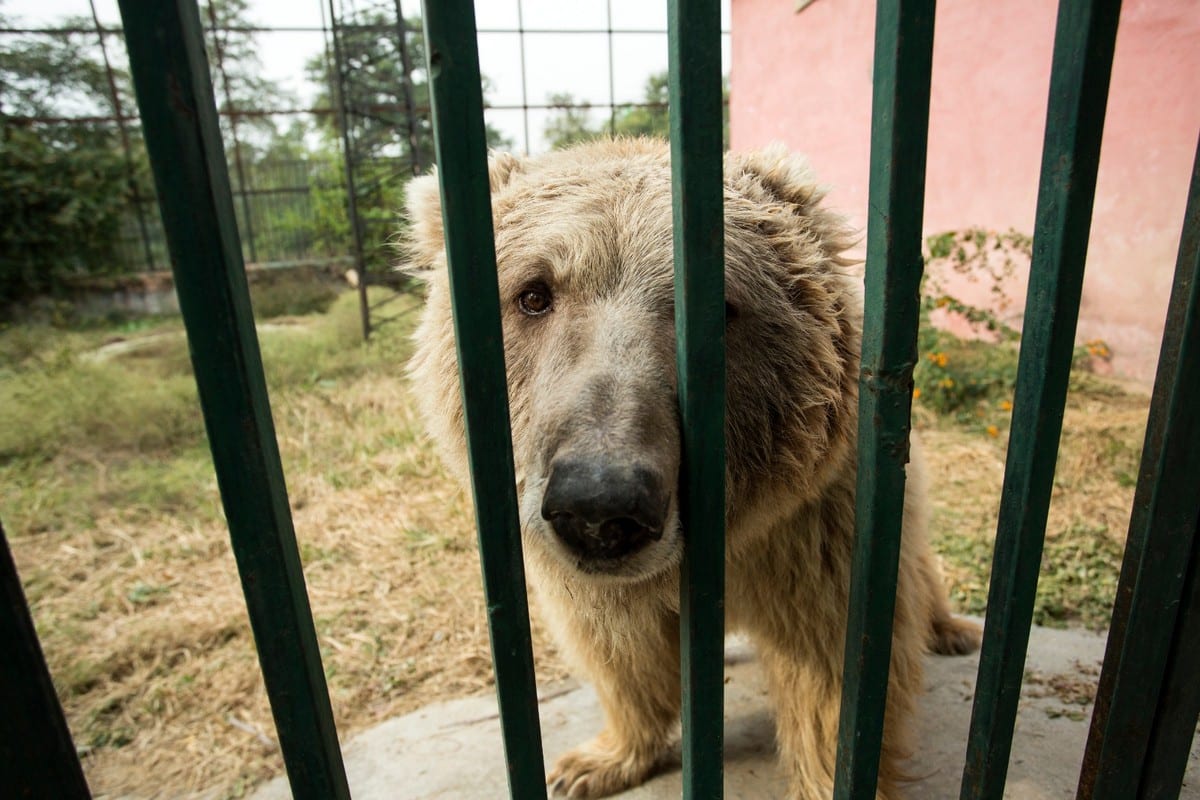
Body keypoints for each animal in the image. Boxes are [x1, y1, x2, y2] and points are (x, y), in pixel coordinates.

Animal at [404, 138, 981, 799]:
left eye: (717, 306)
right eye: (532, 293)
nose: (600, 505)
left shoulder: (809, 534)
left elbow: (831, 670)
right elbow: (620, 657)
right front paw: (592, 762)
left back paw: (952, 629)